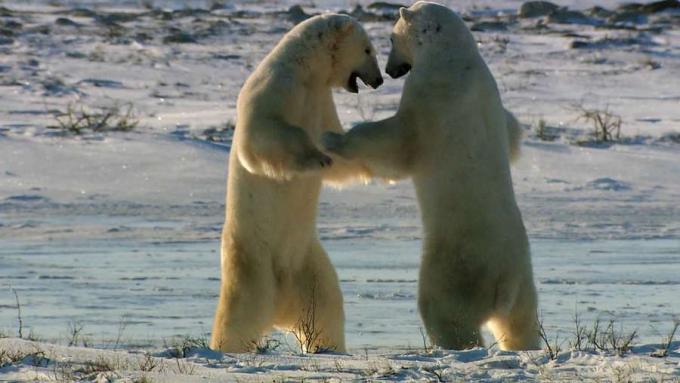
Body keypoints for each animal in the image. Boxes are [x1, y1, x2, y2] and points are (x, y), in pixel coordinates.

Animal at [211, 14, 382, 354]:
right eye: (368, 49)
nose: (380, 80)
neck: (307, 71)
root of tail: (280, 304)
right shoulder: (277, 86)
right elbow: (261, 137)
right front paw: (315, 158)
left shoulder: (321, 100)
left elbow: (336, 145)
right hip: (252, 260)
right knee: (239, 314)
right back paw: (224, 346)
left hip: (307, 263)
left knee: (325, 306)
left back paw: (327, 347)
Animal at [322, 1, 540, 352]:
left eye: (392, 38)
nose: (391, 71)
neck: (454, 56)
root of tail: (502, 284)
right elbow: (510, 130)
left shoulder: (430, 93)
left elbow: (397, 141)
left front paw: (333, 138)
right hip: (523, 277)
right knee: (521, 321)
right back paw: (524, 345)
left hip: (455, 269)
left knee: (445, 313)